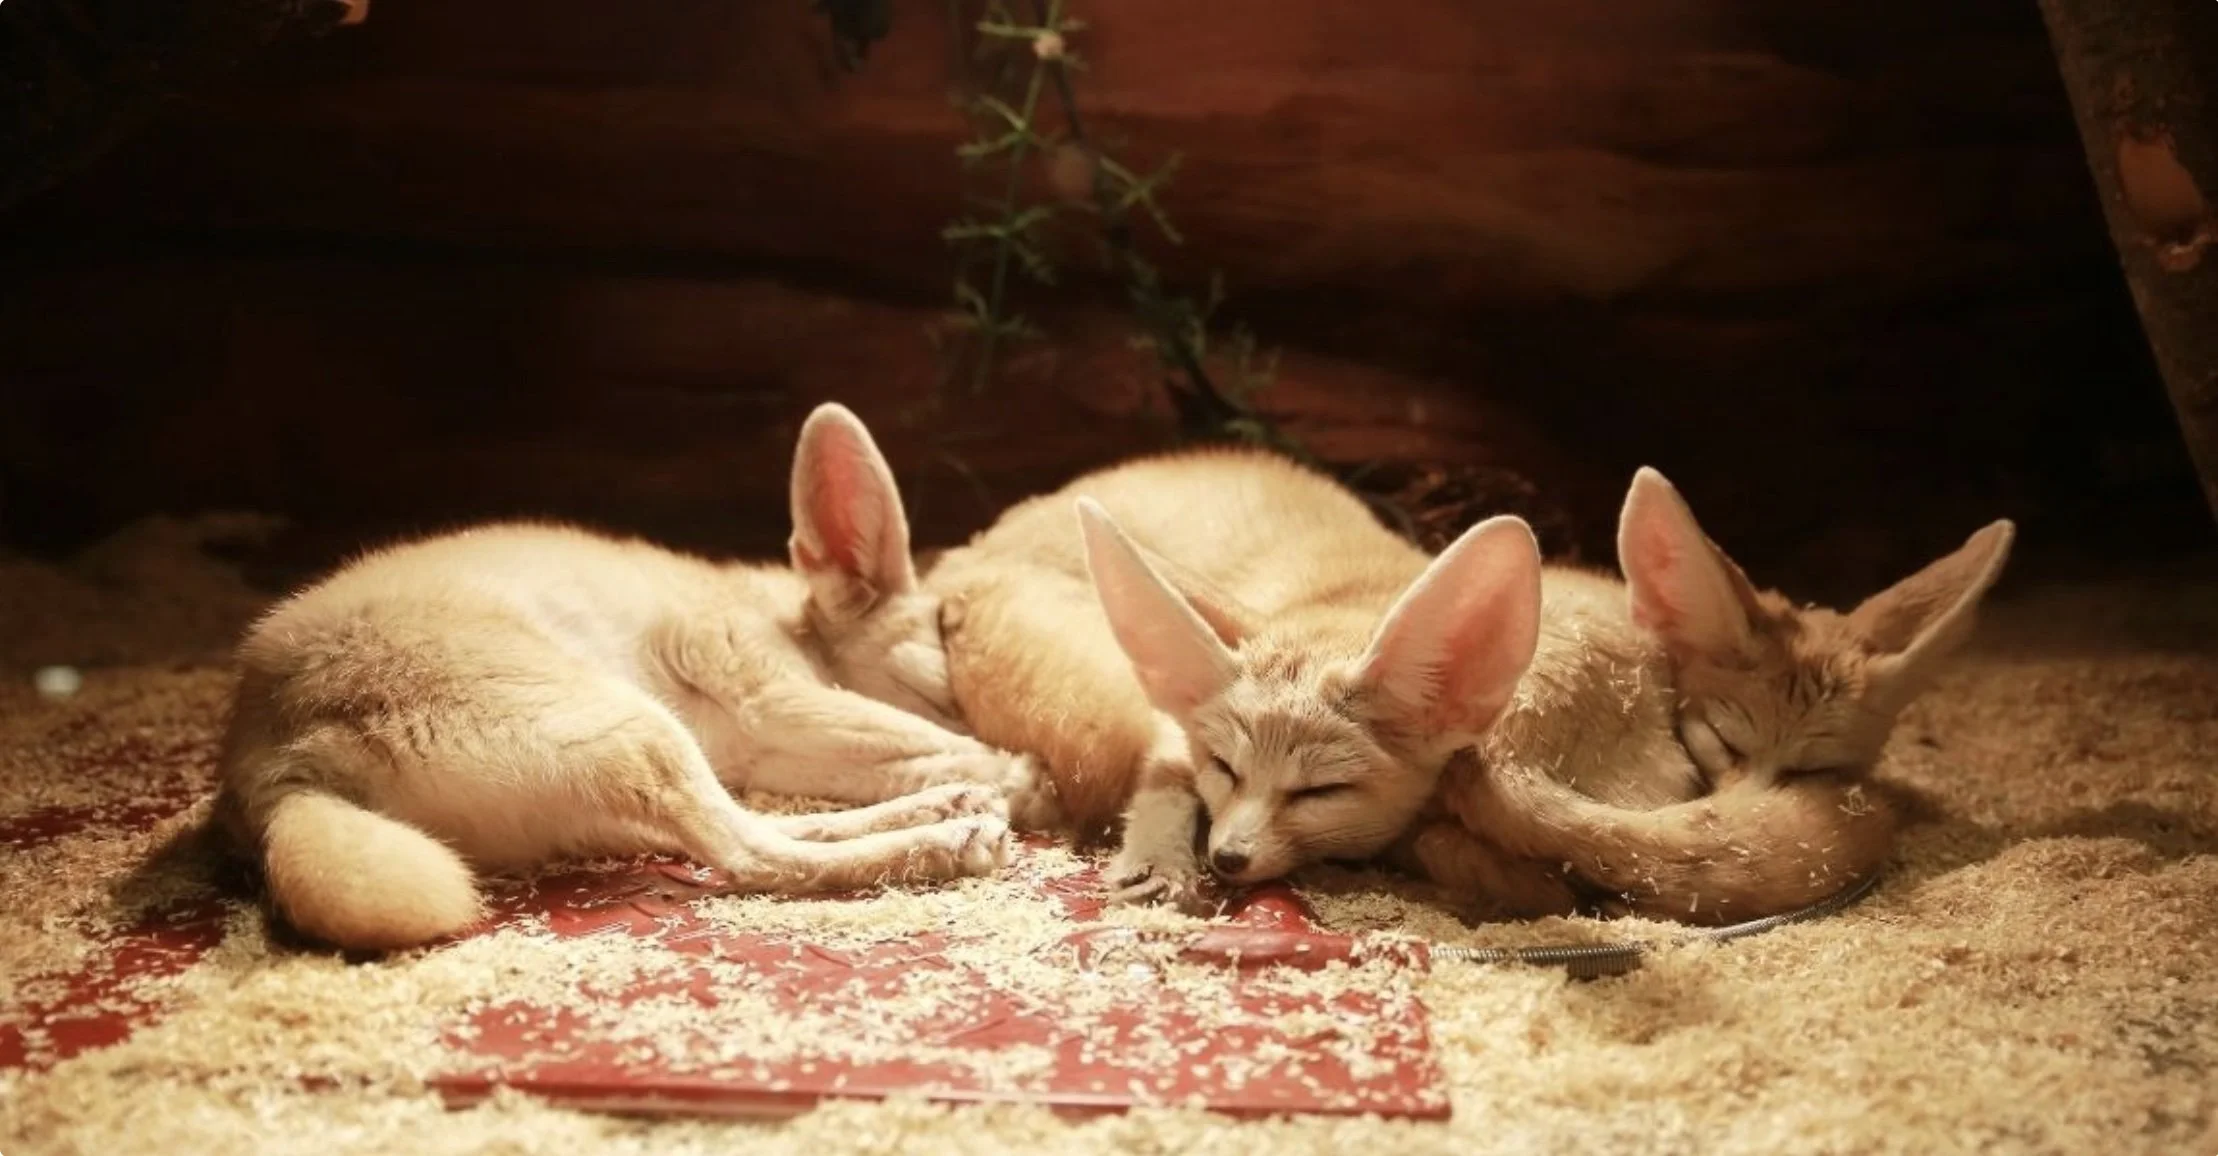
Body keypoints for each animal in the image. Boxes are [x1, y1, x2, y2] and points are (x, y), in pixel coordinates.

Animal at [213, 404, 1041, 952]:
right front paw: (1018, 772)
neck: (789, 619)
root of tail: (266, 766)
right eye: (939, 688)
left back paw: (941, 810)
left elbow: (897, 753)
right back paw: (946, 838)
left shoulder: (767, 742)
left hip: (626, 762)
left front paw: (983, 776)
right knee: (751, 854)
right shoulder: (770, 697)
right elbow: (921, 737)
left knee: (760, 827)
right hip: (636, 728)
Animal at [927, 448, 1544, 912]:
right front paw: (1157, 859)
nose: (1226, 858)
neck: (1339, 591)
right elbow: (1163, 774)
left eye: (1322, 792)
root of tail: (965, 553)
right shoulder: (1178, 730)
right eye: (1225, 768)